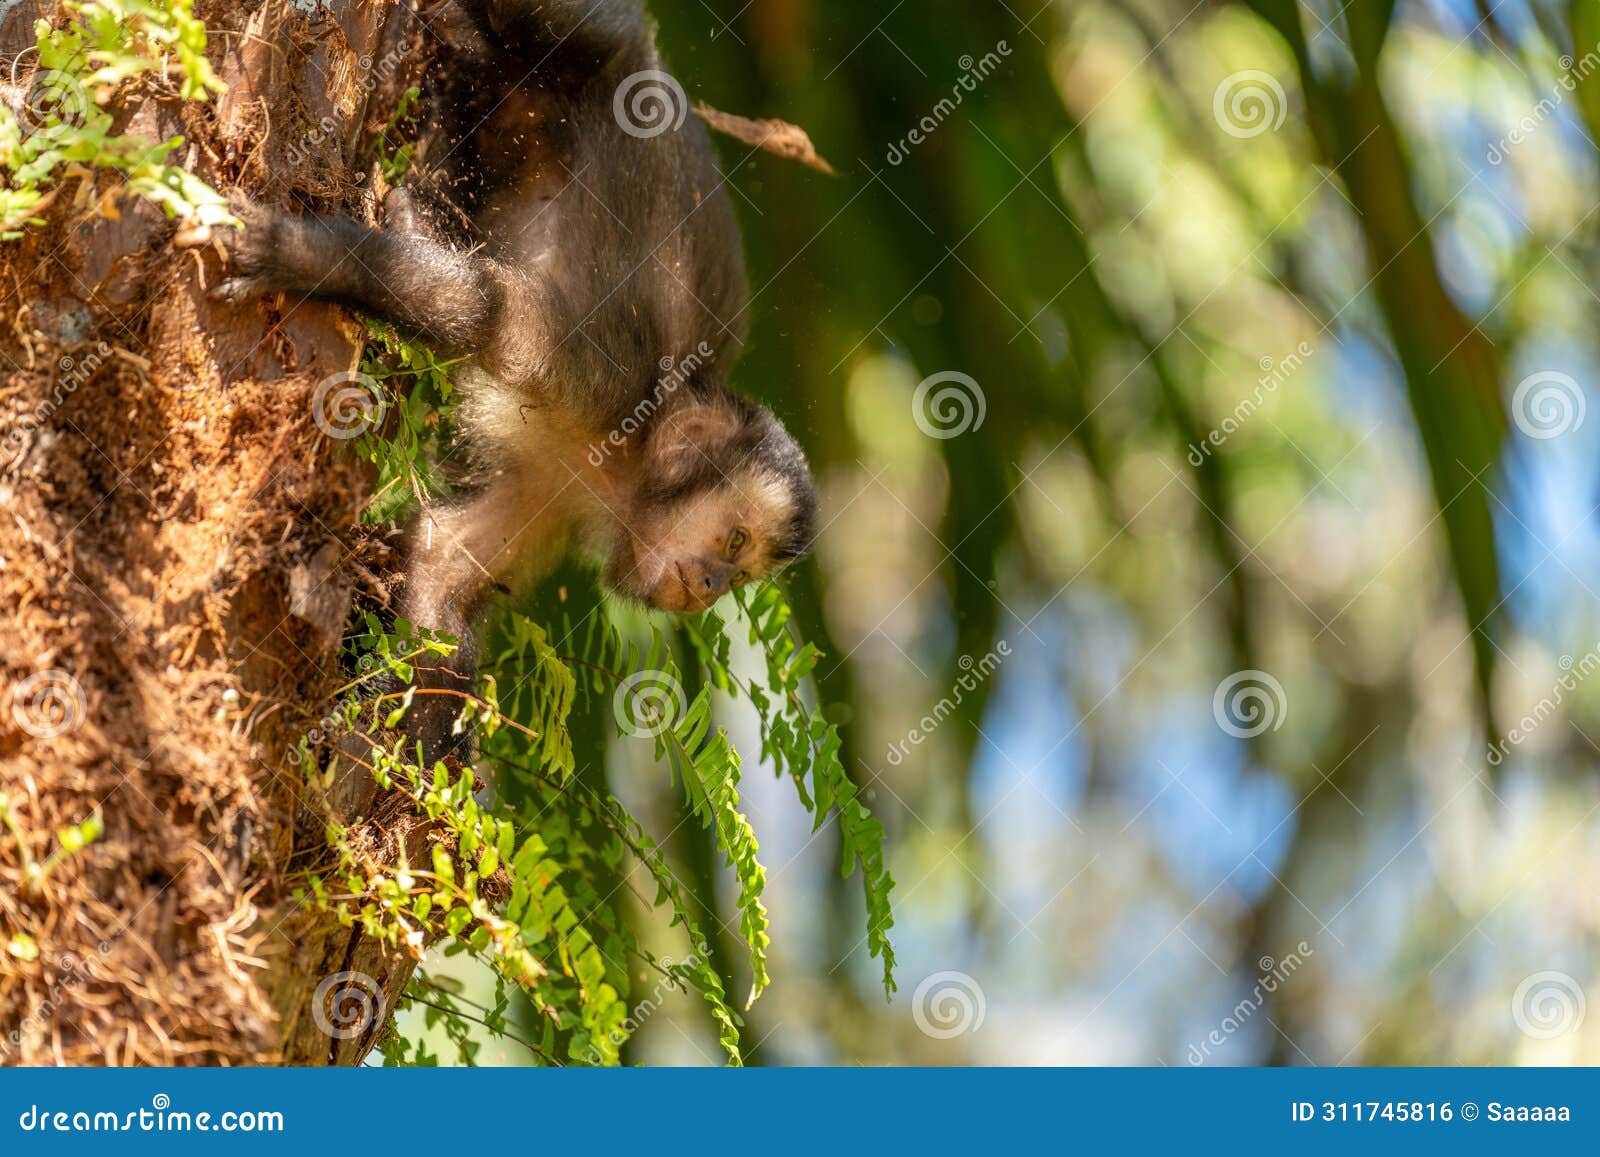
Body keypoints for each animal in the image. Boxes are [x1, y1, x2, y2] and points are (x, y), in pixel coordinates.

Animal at [215, 0, 817, 763]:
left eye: (744, 572)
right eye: (735, 542)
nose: (710, 586)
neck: (624, 465)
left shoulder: (556, 497)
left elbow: (441, 572)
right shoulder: (597, 381)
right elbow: (487, 315)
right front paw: (306, 255)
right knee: (582, 39)